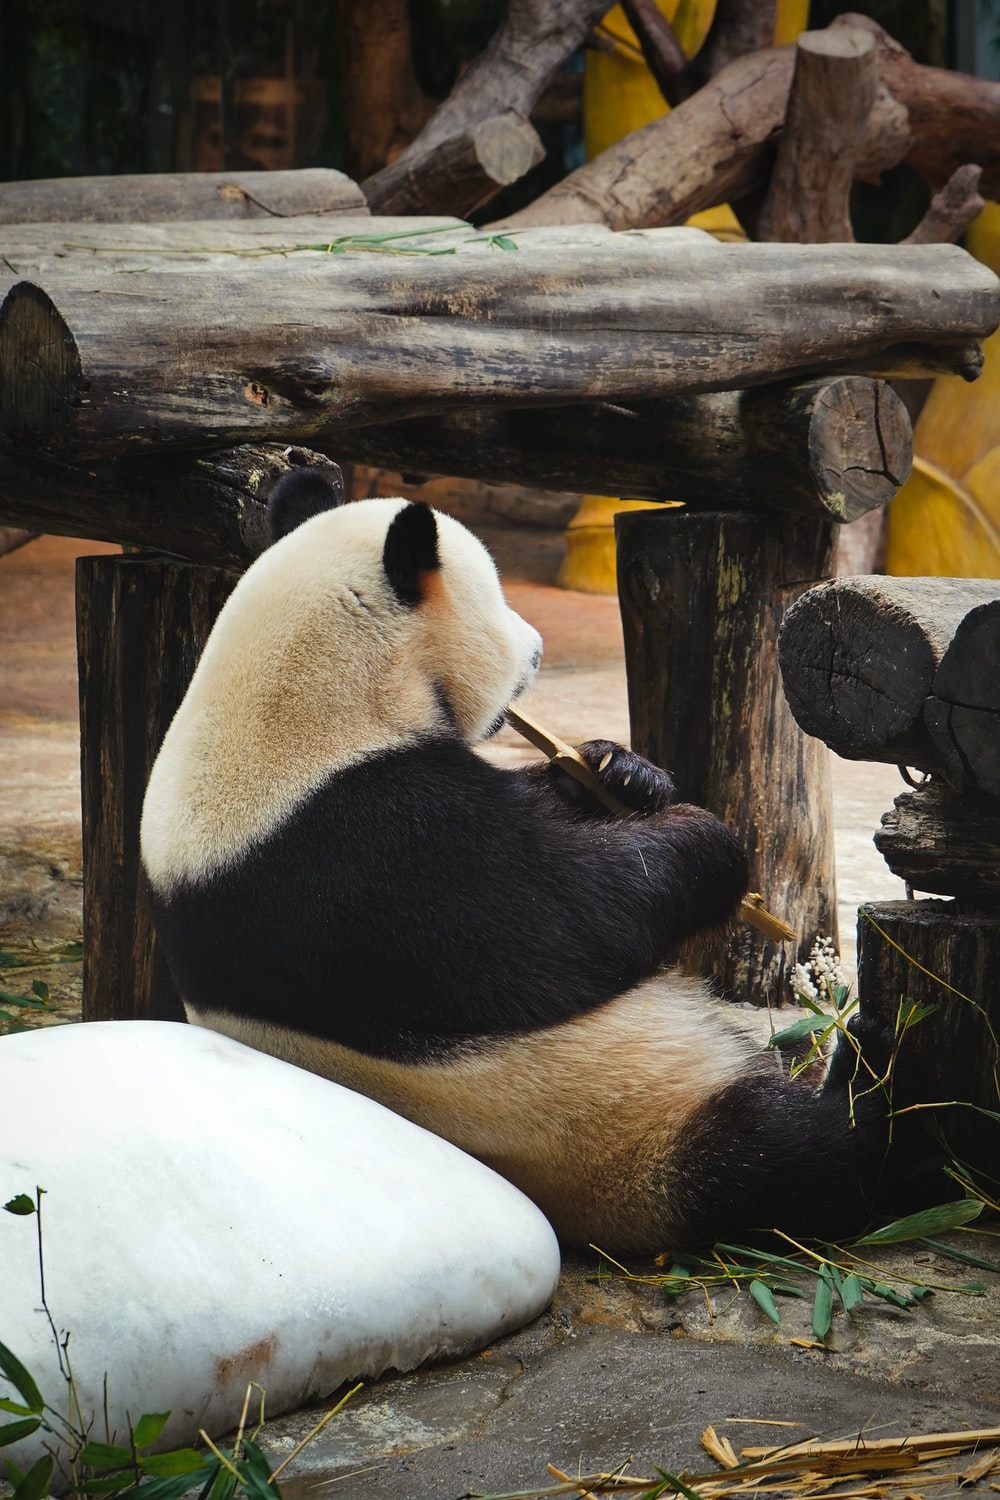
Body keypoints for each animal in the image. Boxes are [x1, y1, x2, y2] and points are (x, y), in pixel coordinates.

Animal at [140, 465, 889, 1255]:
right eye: (501, 595)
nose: (535, 648)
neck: (290, 703)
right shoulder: (356, 855)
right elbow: (562, 921)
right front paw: (704, 845)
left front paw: (620, 771)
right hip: (629, 1136)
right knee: (777, 1156)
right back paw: (865, 1077)